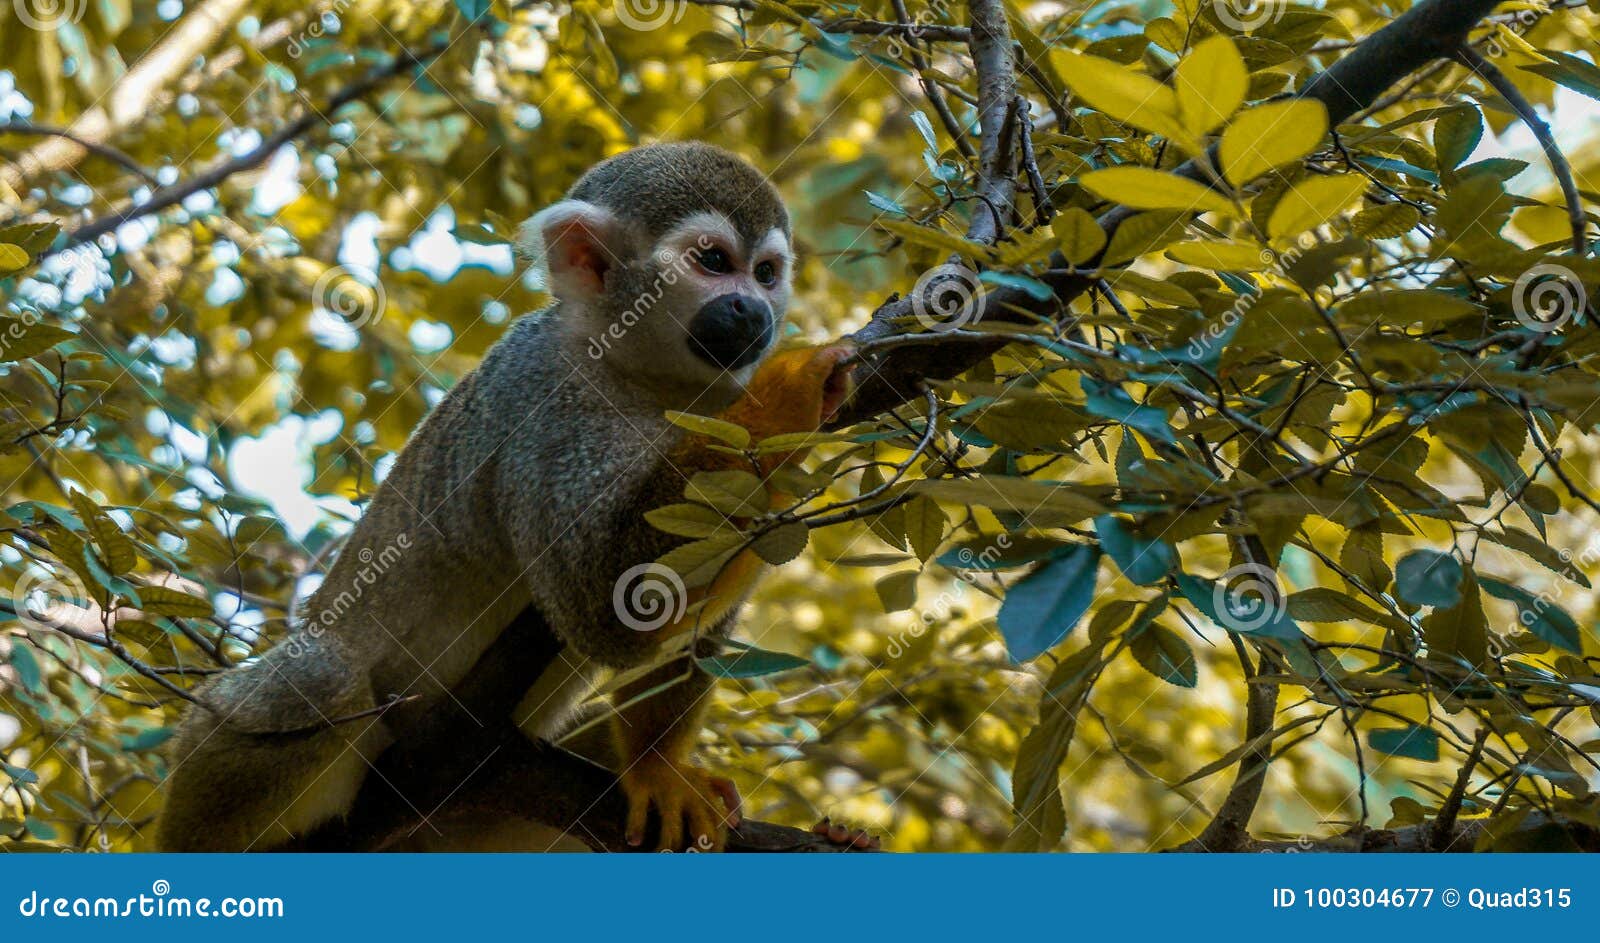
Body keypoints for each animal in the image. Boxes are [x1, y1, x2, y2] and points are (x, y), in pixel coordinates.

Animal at [155, 142, 856, 852]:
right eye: (713, 261)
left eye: (765, 273)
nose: (752, 310)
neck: (643, 374)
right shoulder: (541, 395)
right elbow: (604, 599)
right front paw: (790, 388)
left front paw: (656, 766)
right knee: (317, 678)